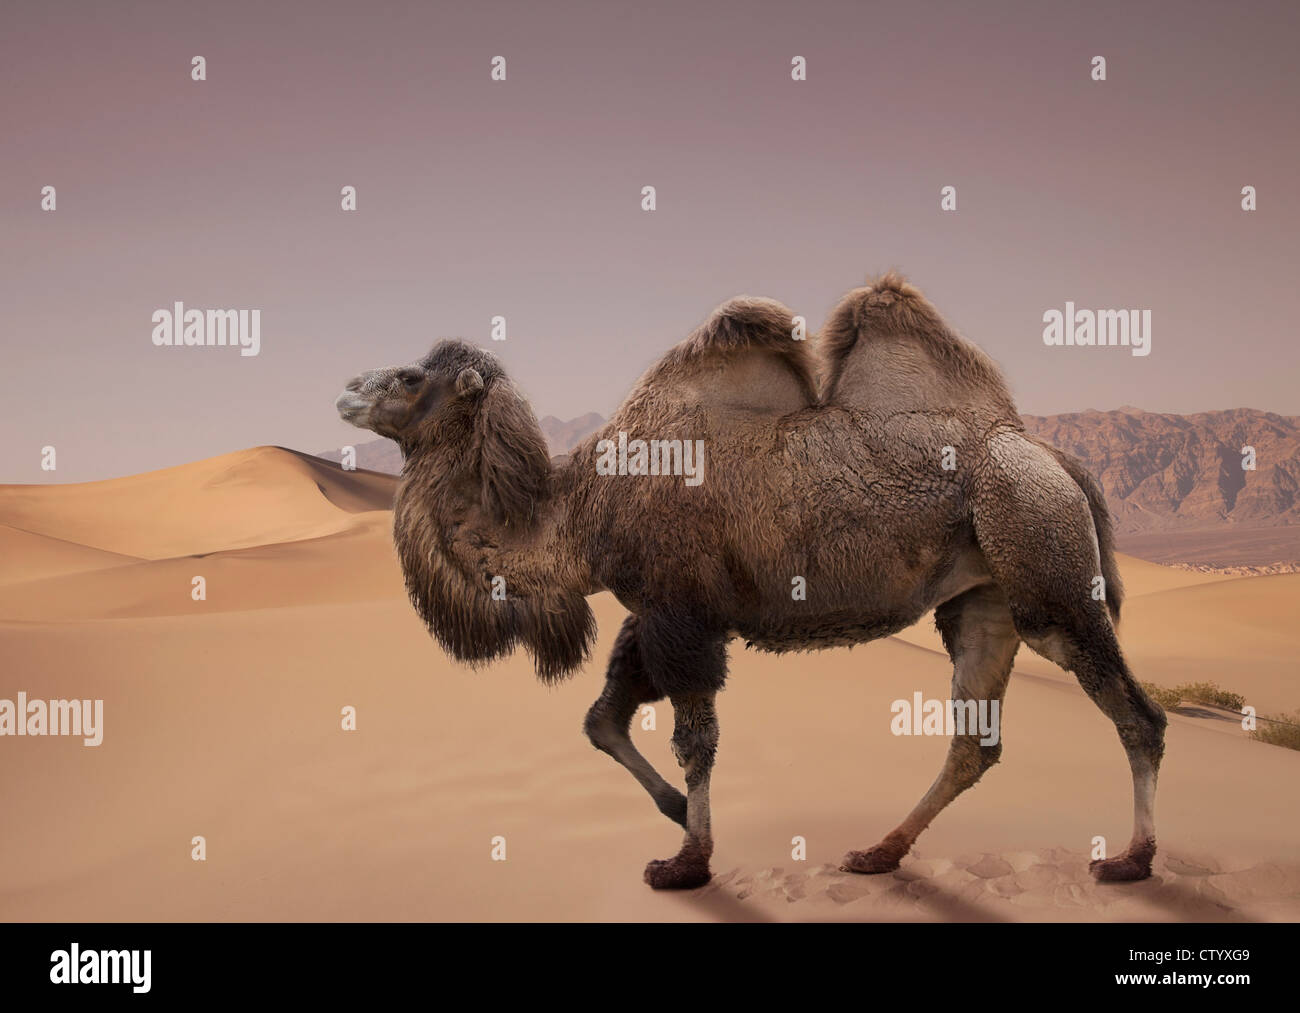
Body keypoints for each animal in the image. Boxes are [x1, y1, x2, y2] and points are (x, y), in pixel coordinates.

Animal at [335, 272, 1167, 890]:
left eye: (409, 377)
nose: (344, 389)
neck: (579, 517)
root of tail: (1056, 457)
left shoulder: (678, 611)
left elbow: (693, 738)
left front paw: (686, 861)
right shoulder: (657, 610)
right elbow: (602, 719)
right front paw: (676, 814)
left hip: (1042, 561)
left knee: (1134, 710)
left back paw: (1131, 859)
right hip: (981, 597)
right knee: (974, 738)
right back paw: (878, 853)